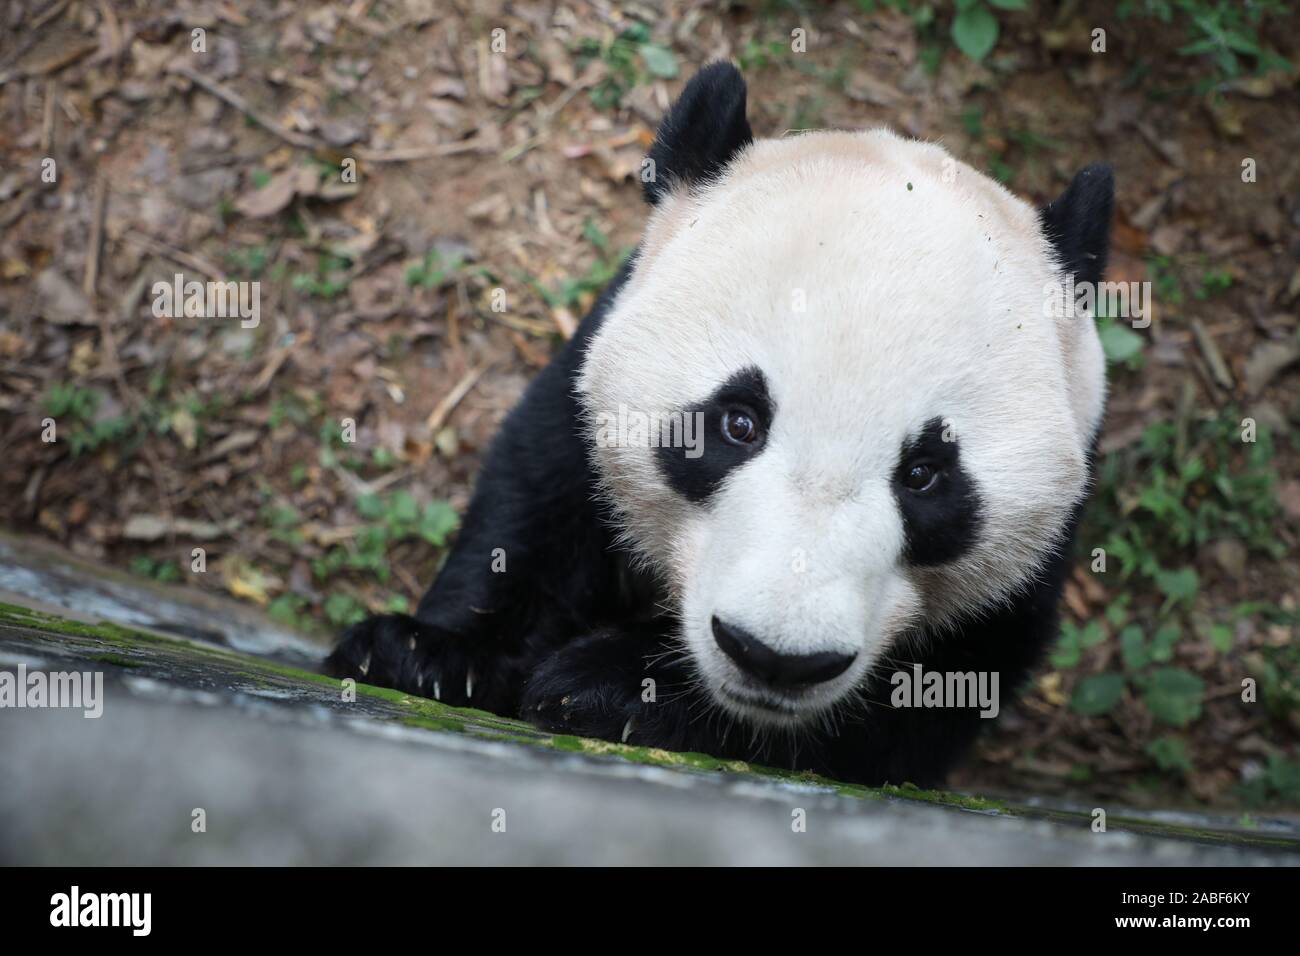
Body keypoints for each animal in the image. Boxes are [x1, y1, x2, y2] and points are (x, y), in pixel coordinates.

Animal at [325, 62, 1113, 786]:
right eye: (739, 424)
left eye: (924, 474)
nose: (776, 658)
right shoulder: (599, 354)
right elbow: (538, 492)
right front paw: (423, 656)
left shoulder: (1036, 556)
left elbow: (918, 708)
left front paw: (612, 687)